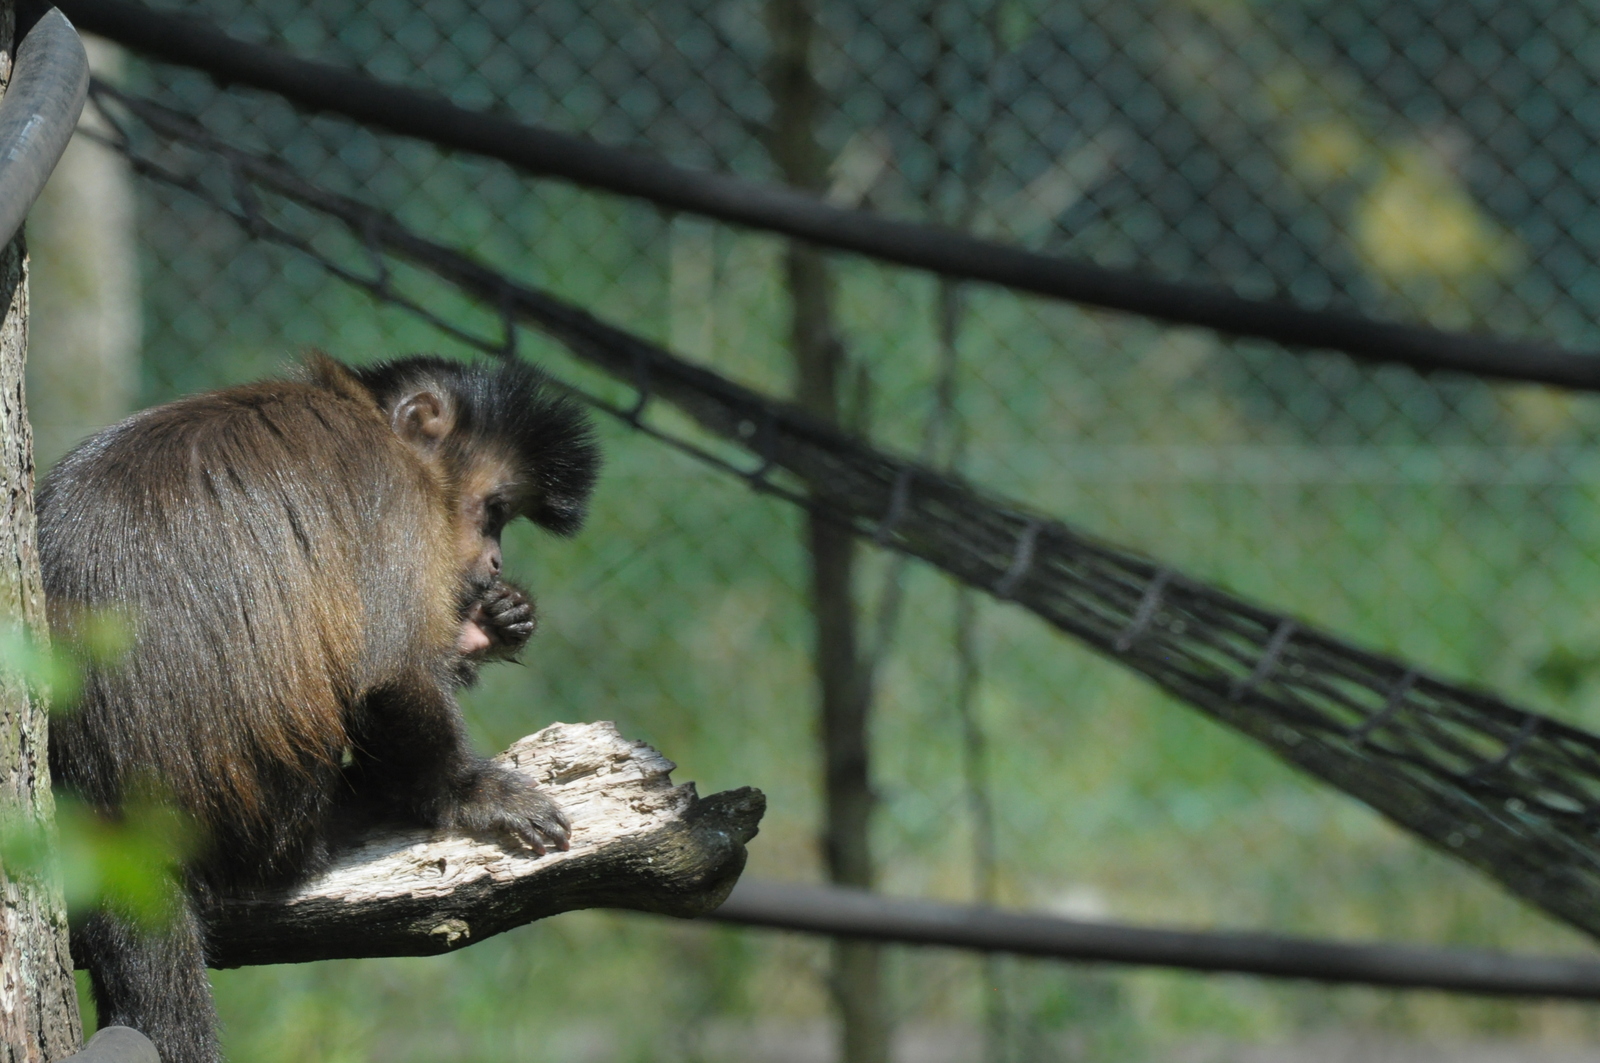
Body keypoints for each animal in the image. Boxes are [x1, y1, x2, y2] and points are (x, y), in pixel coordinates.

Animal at [37, 353, 599, 1063]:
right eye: (493, 512)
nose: (496, 559)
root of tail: (113, 811)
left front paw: (493, 624)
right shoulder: (392, 488)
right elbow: (387, 674)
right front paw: (468, 791)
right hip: (266, 819)